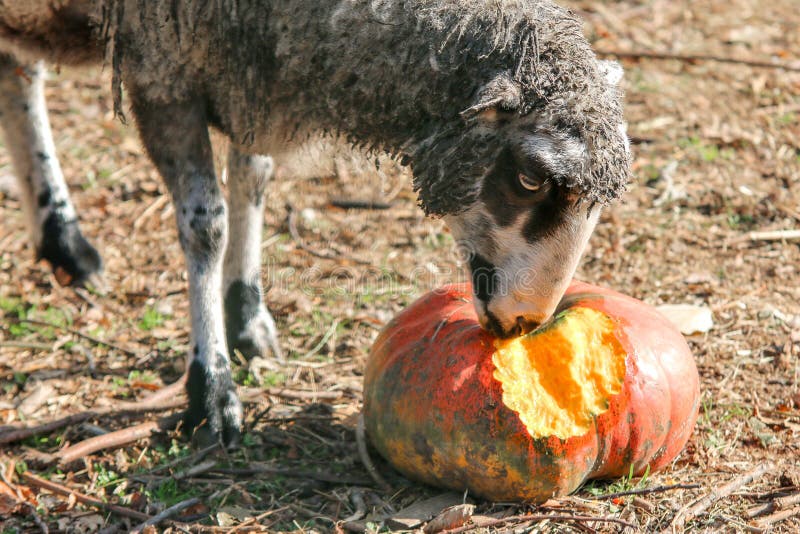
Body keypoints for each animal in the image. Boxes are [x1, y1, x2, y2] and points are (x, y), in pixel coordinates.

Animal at [0, 0, 631, 447]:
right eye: (530, 178)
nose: (527, 322)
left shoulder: (254, 70)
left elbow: (252, 179)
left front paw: (247, 317)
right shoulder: (163, 63)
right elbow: (207, 225)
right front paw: (212, 391)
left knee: (17, 71)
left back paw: (64, 242)